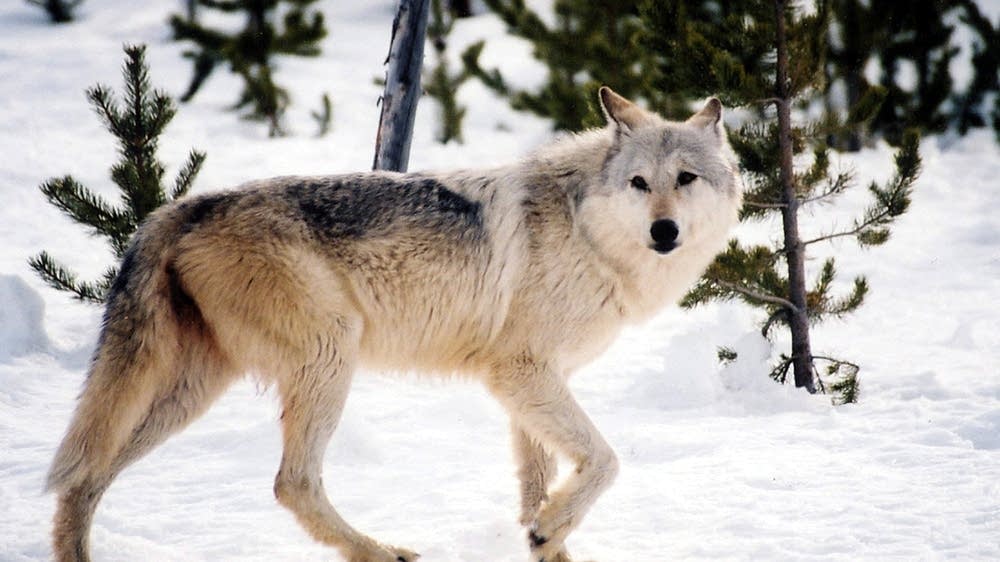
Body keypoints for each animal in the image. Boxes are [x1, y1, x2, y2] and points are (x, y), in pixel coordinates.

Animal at [46, 87, 742, 562]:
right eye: (639, 183)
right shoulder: (520, 373)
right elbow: (604, 460)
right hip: (329, 358)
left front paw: (547, 541)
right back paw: (379, 552)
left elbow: (537, 486)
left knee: (85, 478)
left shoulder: (531, 385)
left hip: (190, 392)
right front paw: (551, 529)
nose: (664, 231)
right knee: (291, 483)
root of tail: (181, 207)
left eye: (685, 179)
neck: (587, 231)